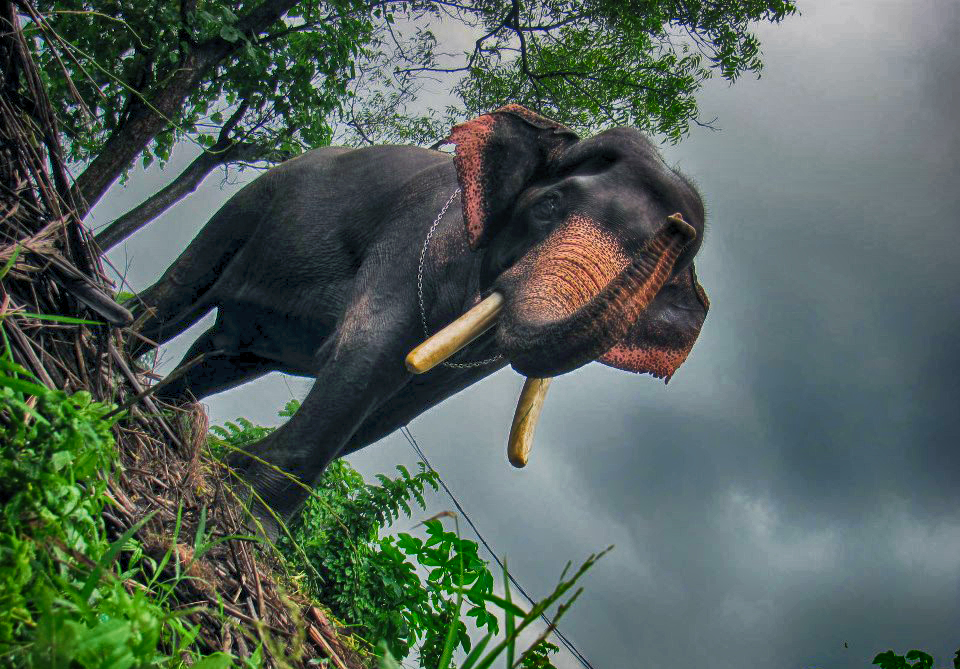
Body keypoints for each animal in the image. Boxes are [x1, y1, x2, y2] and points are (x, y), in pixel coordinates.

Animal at [133, 105, 710, 535]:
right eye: (549, 205)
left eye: (663, 278)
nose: (680, 227)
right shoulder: (414, 244)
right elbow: (364, 360)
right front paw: (250, 526)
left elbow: (388, 413)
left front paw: (240, 487)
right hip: (260, 197)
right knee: (174, 297)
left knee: (220, 355)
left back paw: (160, 417)